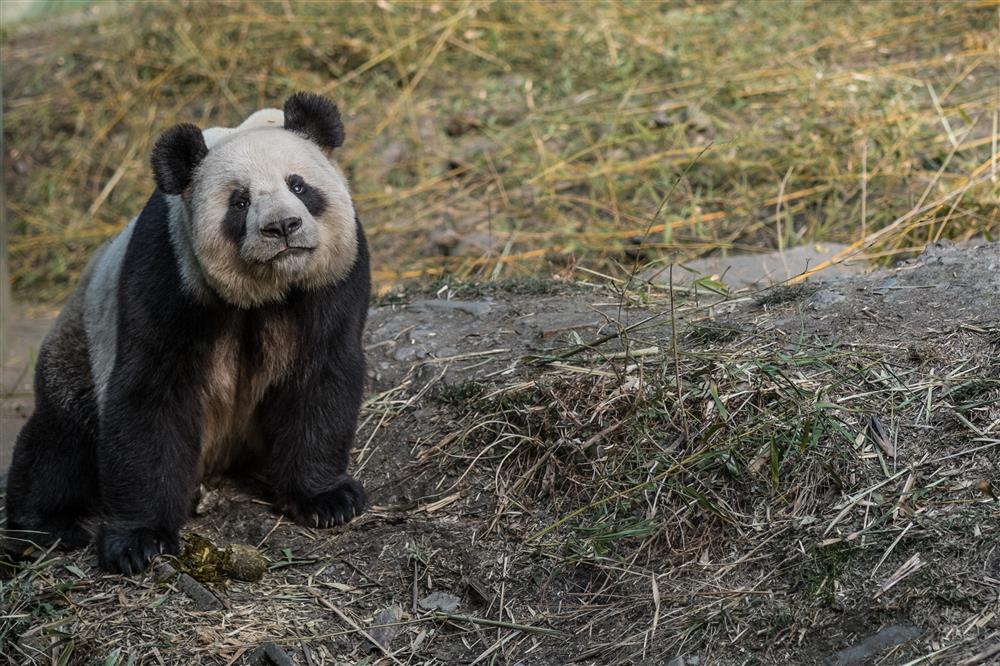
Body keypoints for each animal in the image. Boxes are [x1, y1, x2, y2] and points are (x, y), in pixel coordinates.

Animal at [5, 92, 370, 574]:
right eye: (239, 201)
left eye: (298, 186)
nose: (282, 228)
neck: (266, 289)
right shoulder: (170, 273)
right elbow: (150, 394)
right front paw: (137, 540)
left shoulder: (332, 277)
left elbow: (320, 375)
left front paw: (327, 499)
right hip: (77, 344)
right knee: (59, 441)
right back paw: (49, 524)